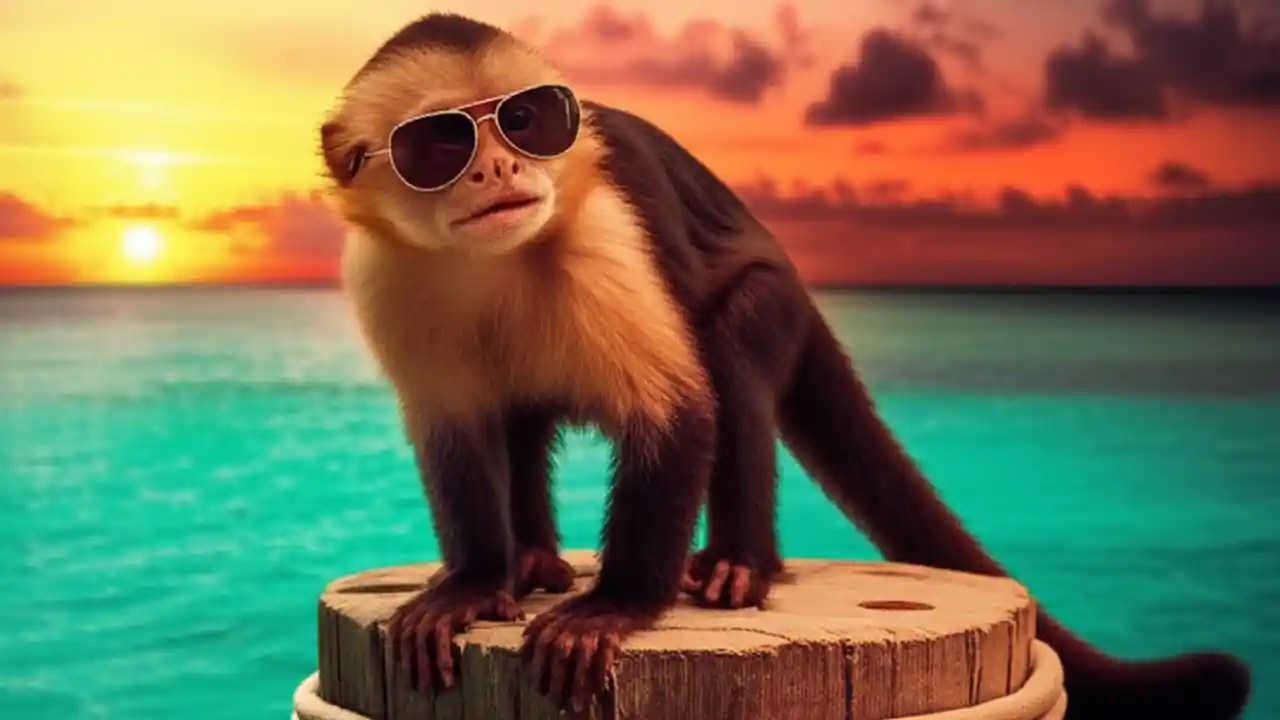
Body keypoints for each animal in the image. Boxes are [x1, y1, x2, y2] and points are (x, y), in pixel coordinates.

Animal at [316, 12, 1253, 718]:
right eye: (439, 145)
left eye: (525, 120)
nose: (503, 165)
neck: (493, 258)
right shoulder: (386, 271)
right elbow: (456, 431)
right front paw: (474, 583)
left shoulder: (598, 239)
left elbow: (679, 410)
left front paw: (613, 607)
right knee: (519, 416)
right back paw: (533, 562)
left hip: (775, 301)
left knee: (730, 352)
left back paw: (739, 563)